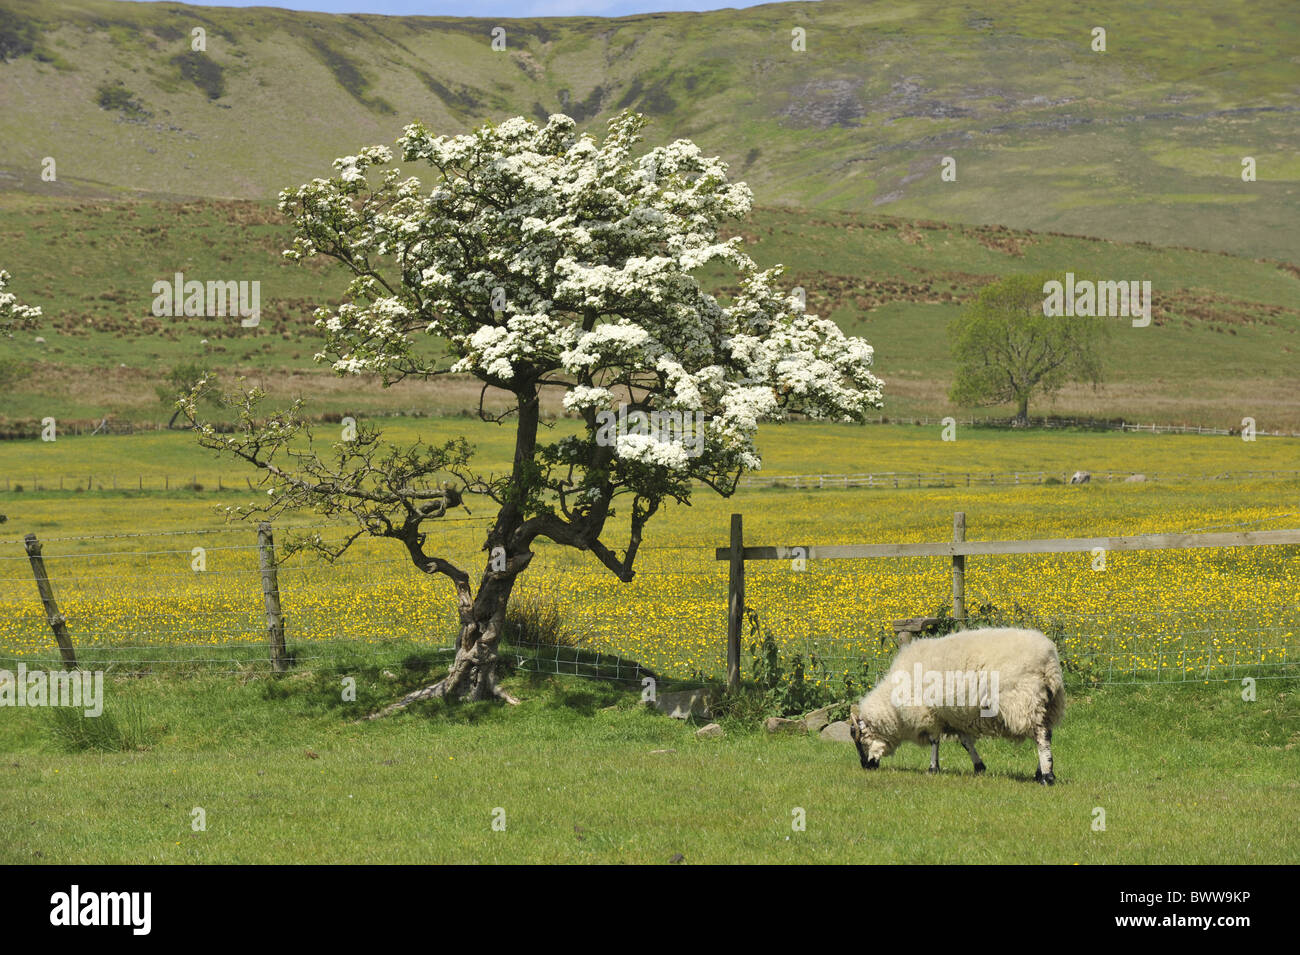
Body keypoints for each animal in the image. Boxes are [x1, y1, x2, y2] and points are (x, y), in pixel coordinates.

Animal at [849, 627, 1065, 784]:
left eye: (860, 740)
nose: (865, 766)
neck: (894, 709)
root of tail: (1048, 660)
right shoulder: (955, 717)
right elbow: (965, 743)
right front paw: (979, 767)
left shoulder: (930, 715)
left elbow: (935, 741)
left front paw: (932, 769)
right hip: (1048, 704)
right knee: (1047, 733)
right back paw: (1040, 772)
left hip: (1023, 701)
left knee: (1041, 736)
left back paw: (1047, 776)